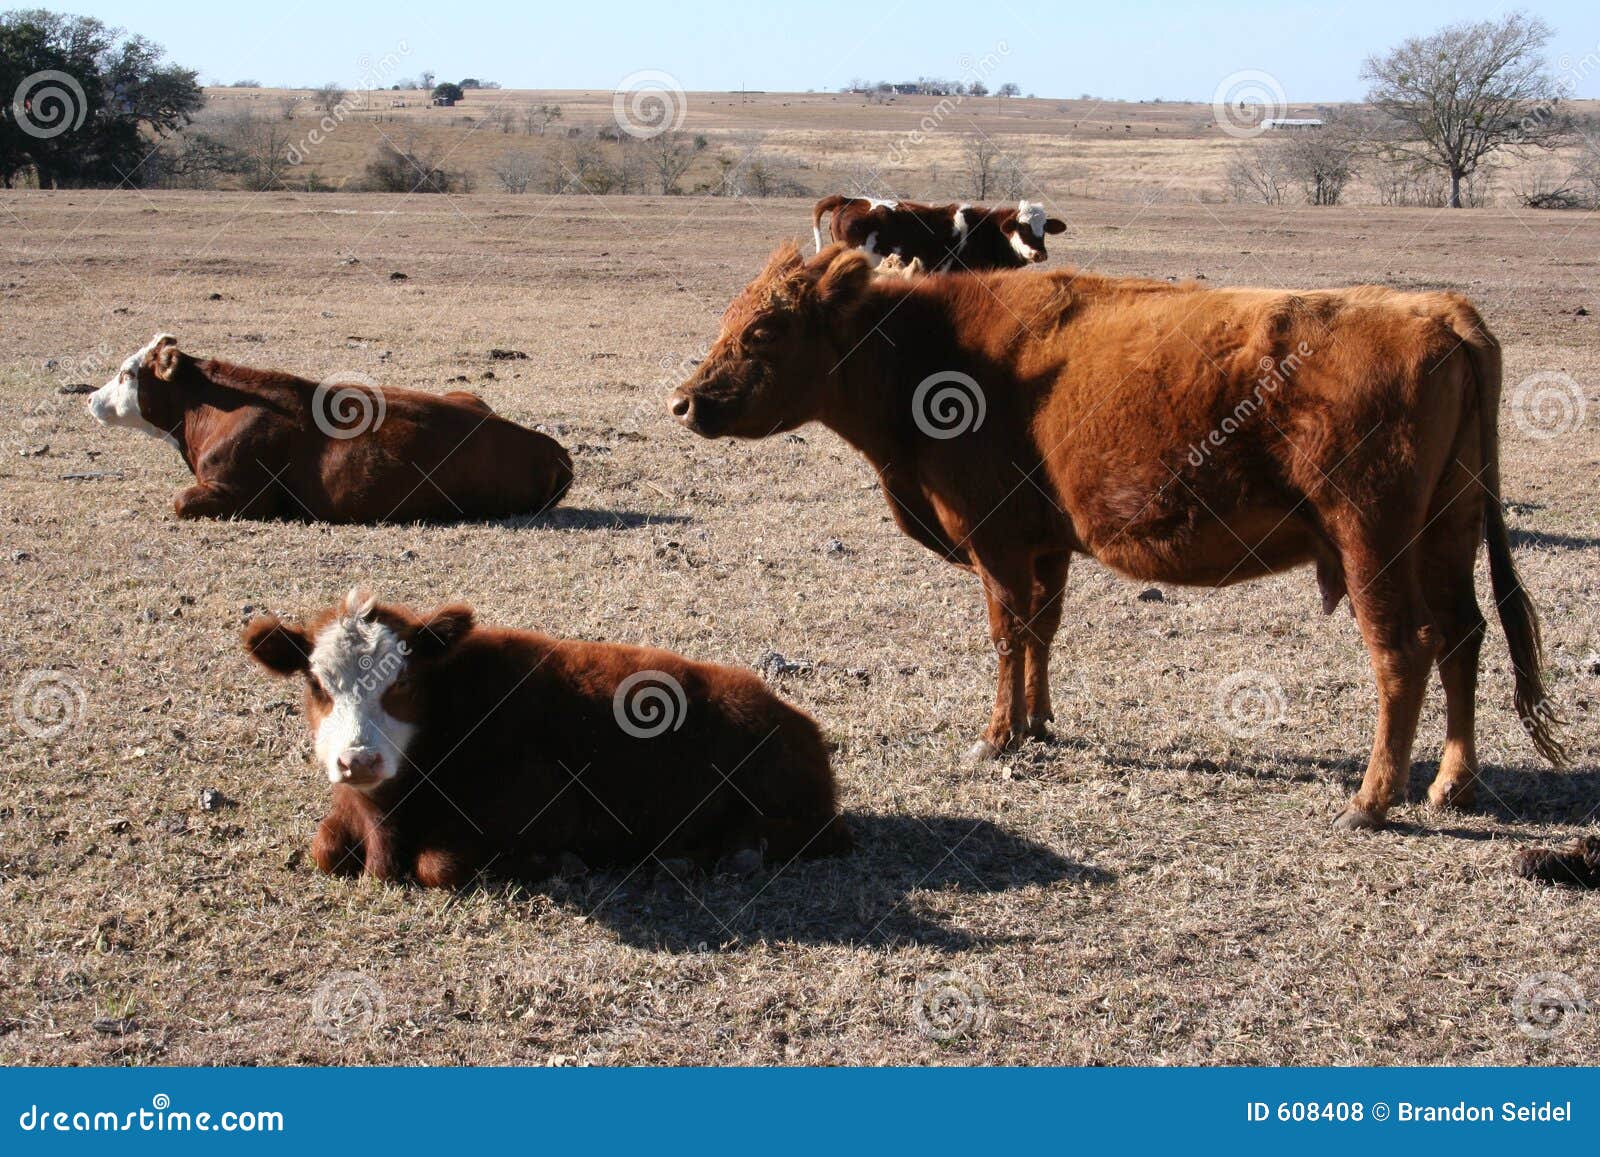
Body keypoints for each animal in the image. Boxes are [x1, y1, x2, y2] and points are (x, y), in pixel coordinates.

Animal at [242, 589, 852, 886]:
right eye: (316, 683)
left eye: (404, 680)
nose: (359, 761)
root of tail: (793, 717)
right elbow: (323, 849)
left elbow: (438, 866)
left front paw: (556, 863)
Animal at [668, 244, 1569, 832]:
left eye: (764, 330)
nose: (684, 401)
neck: (933, 352)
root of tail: (1438, 311)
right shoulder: (1046, 545)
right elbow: (1042, 631)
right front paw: (1037, 724)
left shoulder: (996, 541)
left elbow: (1007, 633)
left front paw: (996, 736)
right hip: (1445, 533)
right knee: (1463, 637)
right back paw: (1452, 782)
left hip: (1371, 540)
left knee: (1404, 651)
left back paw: (1372, 799)